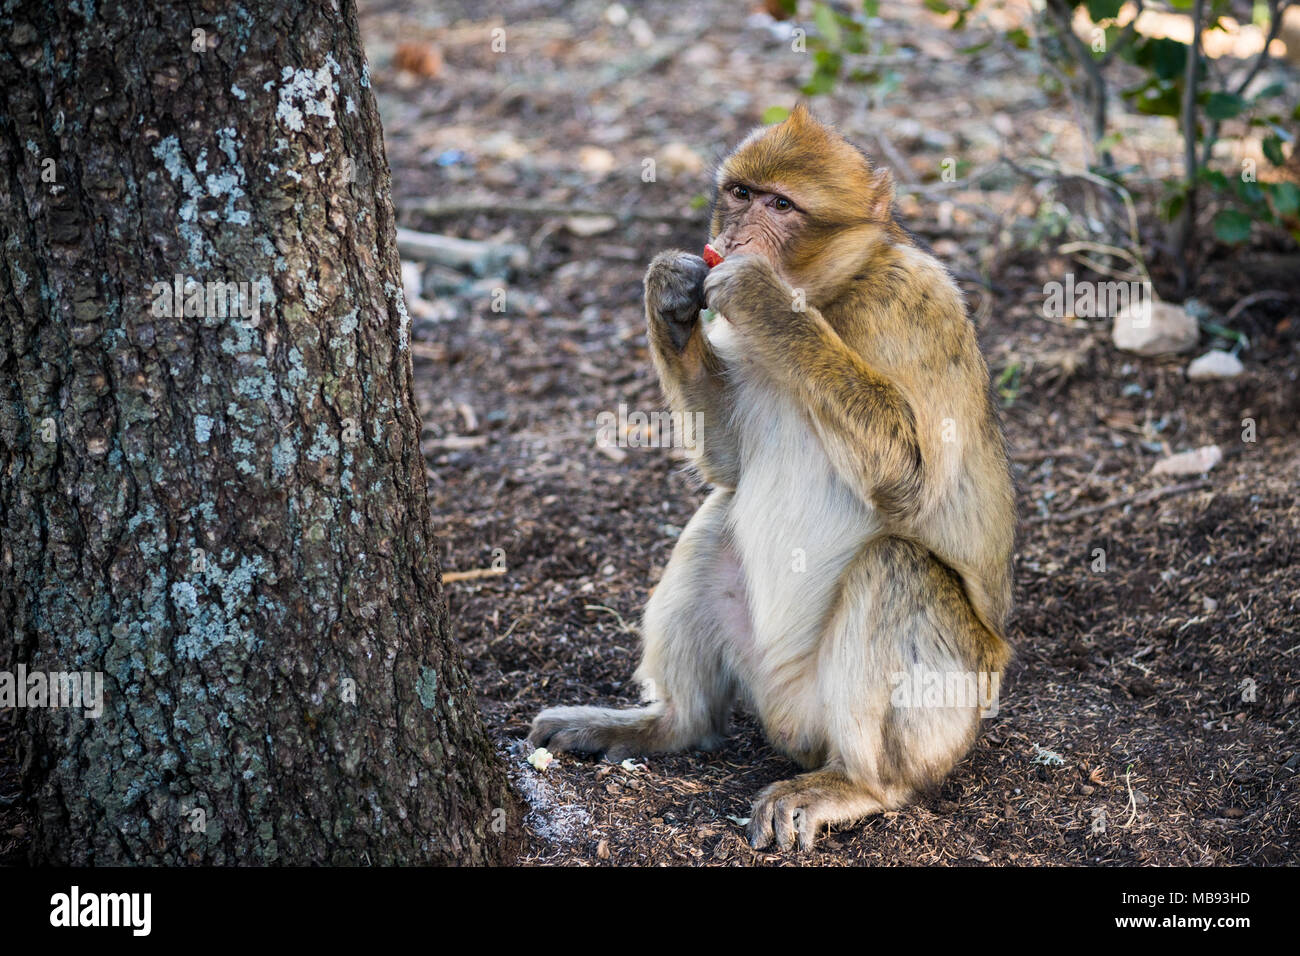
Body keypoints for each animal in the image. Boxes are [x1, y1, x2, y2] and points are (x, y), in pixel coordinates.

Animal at [530, 104, 1015, 850]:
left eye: (781, 205)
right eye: (739, 193)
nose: (732, 238)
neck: (833, 294)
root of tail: (790, 725)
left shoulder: (912, 309)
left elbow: (915, 482)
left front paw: (765, 298)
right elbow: (728, 460)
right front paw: (668, 293)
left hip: (940, 717)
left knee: (896, 563)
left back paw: (858, 784)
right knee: (716, 517)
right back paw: (668, 723)